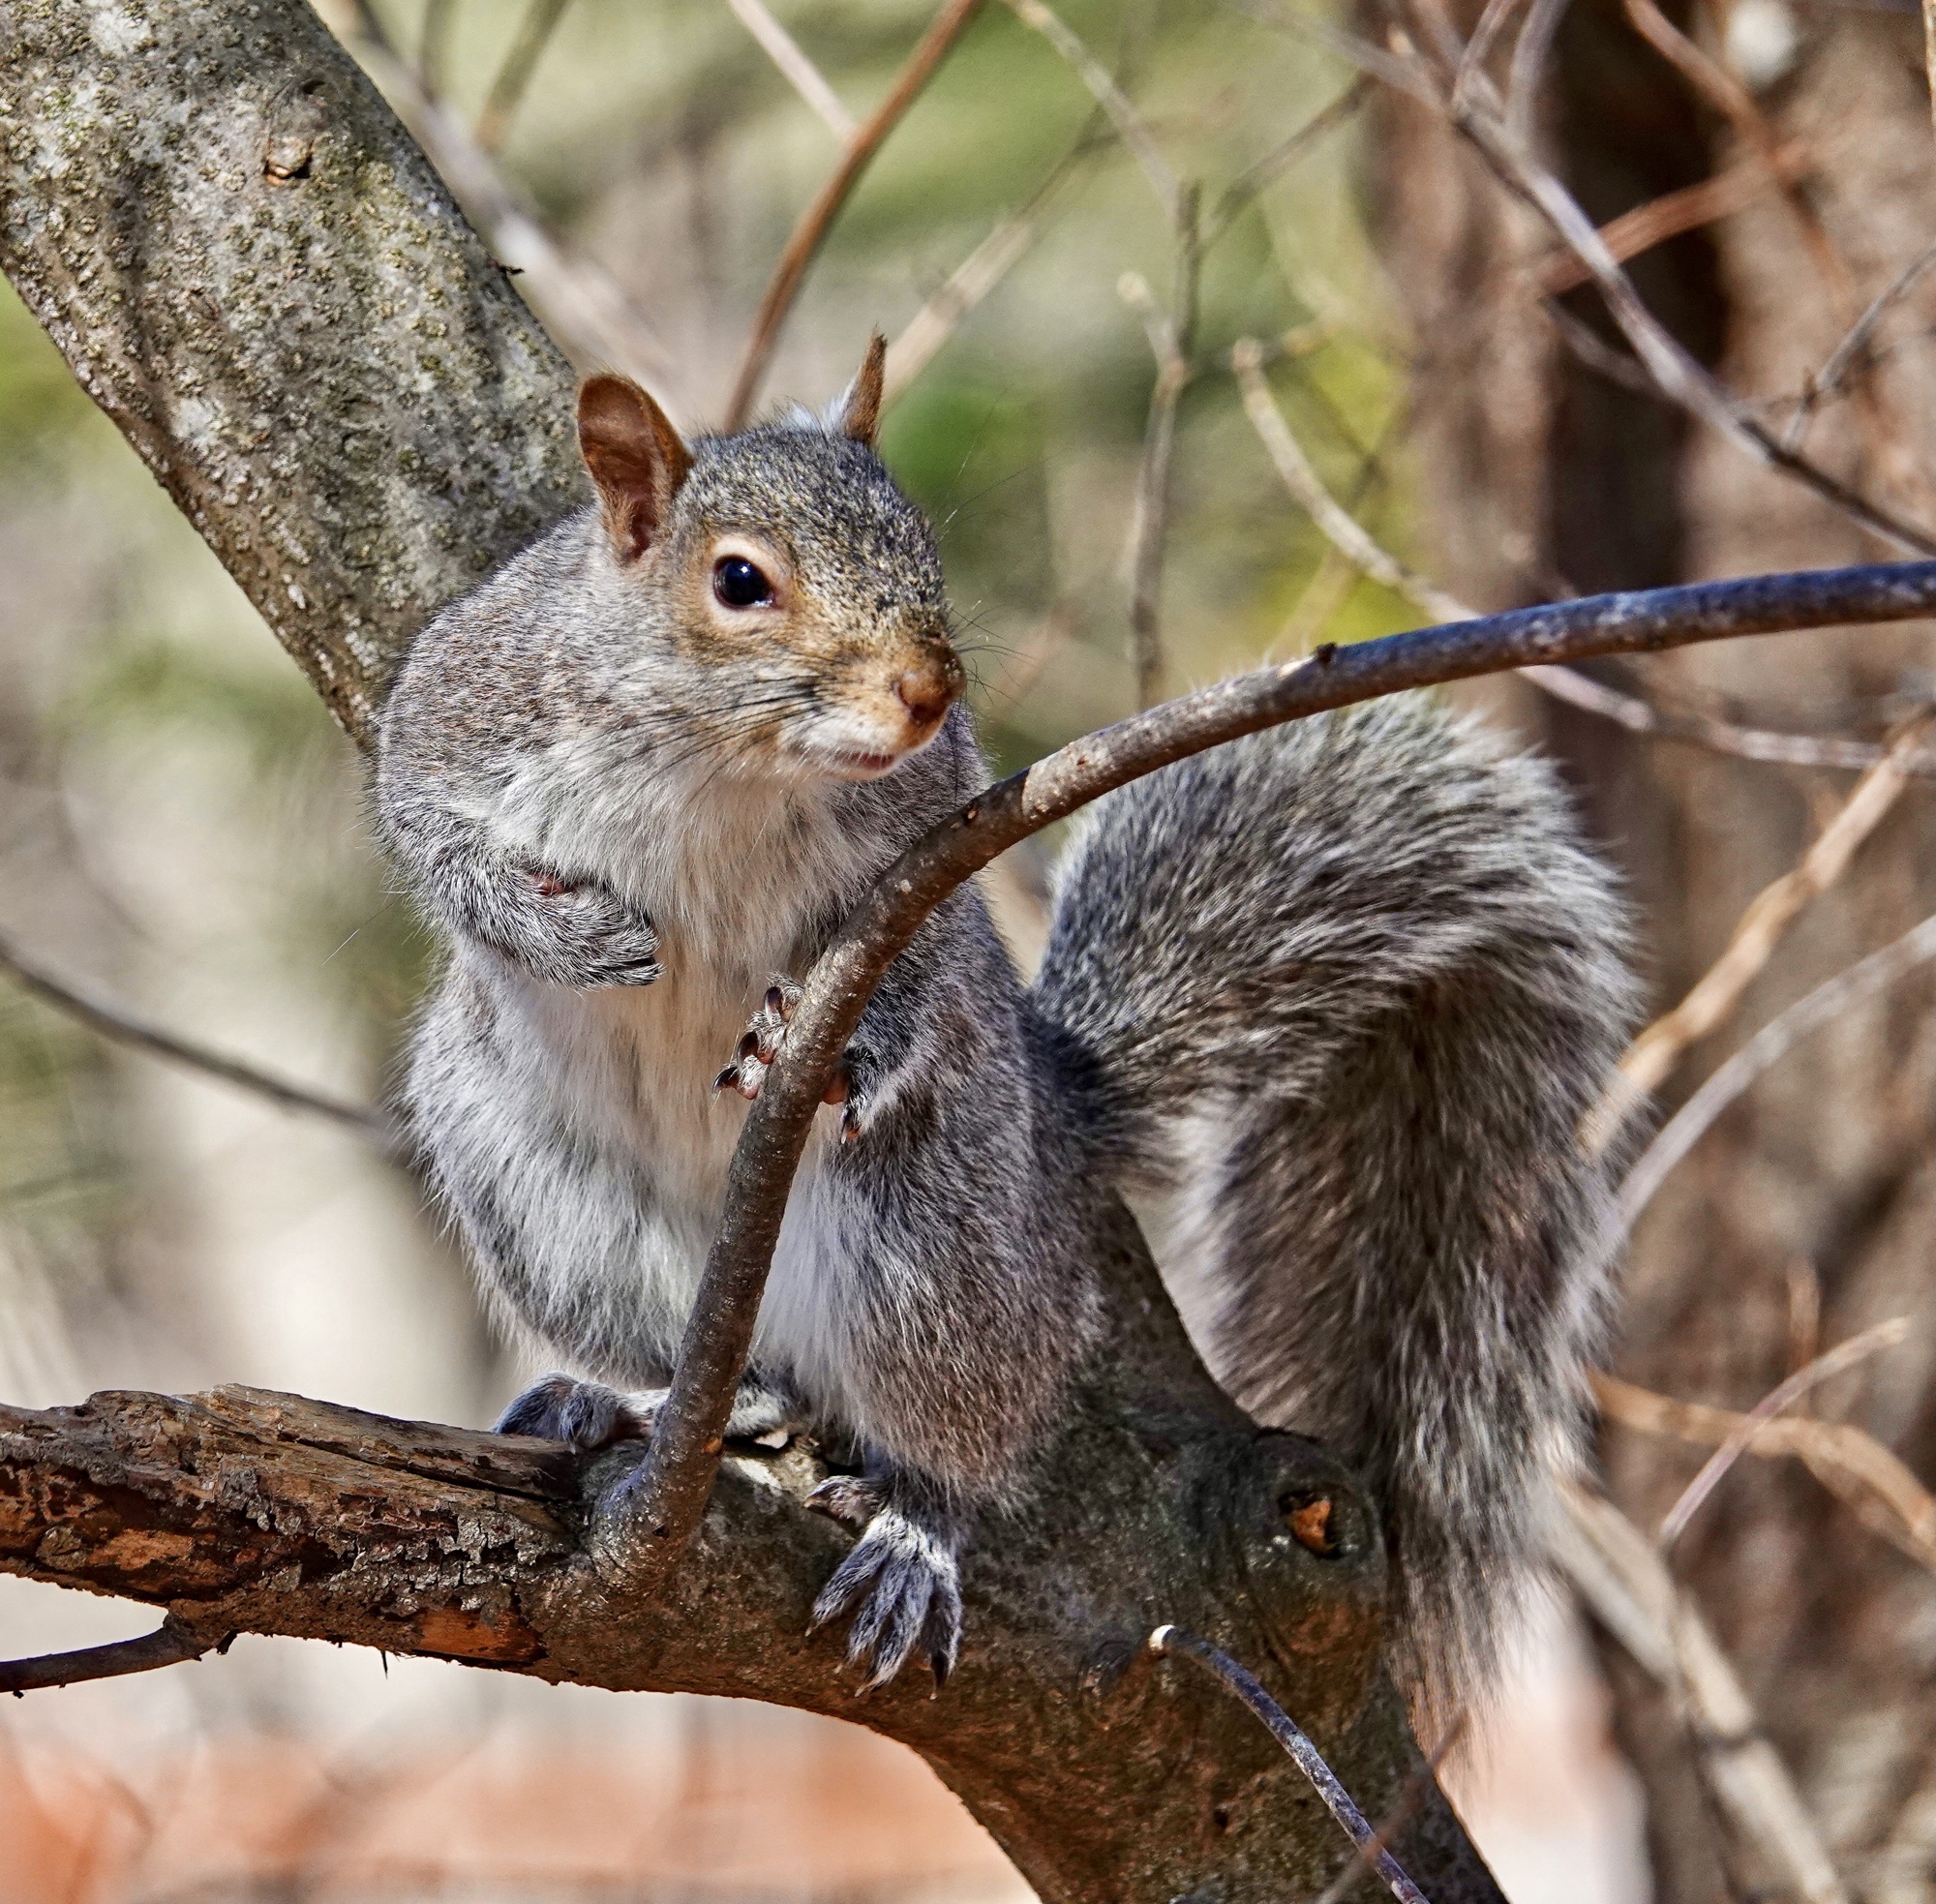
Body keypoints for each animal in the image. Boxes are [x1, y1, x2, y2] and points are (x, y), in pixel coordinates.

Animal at [375, 335, 1636, 1708]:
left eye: (918, 539)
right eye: (738, 581)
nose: (929, 692)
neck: (723, 761)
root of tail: (1055, 1136)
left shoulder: (931, 842)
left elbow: (927, 955)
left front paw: (848, 1042)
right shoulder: (461, 708)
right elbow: (425, 834)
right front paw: (563, 933)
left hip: (934, 1246)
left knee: (962, 1434)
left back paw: (913, 1534)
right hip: (538, 1192)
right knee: (738, 1376)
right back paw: (642, 1404)